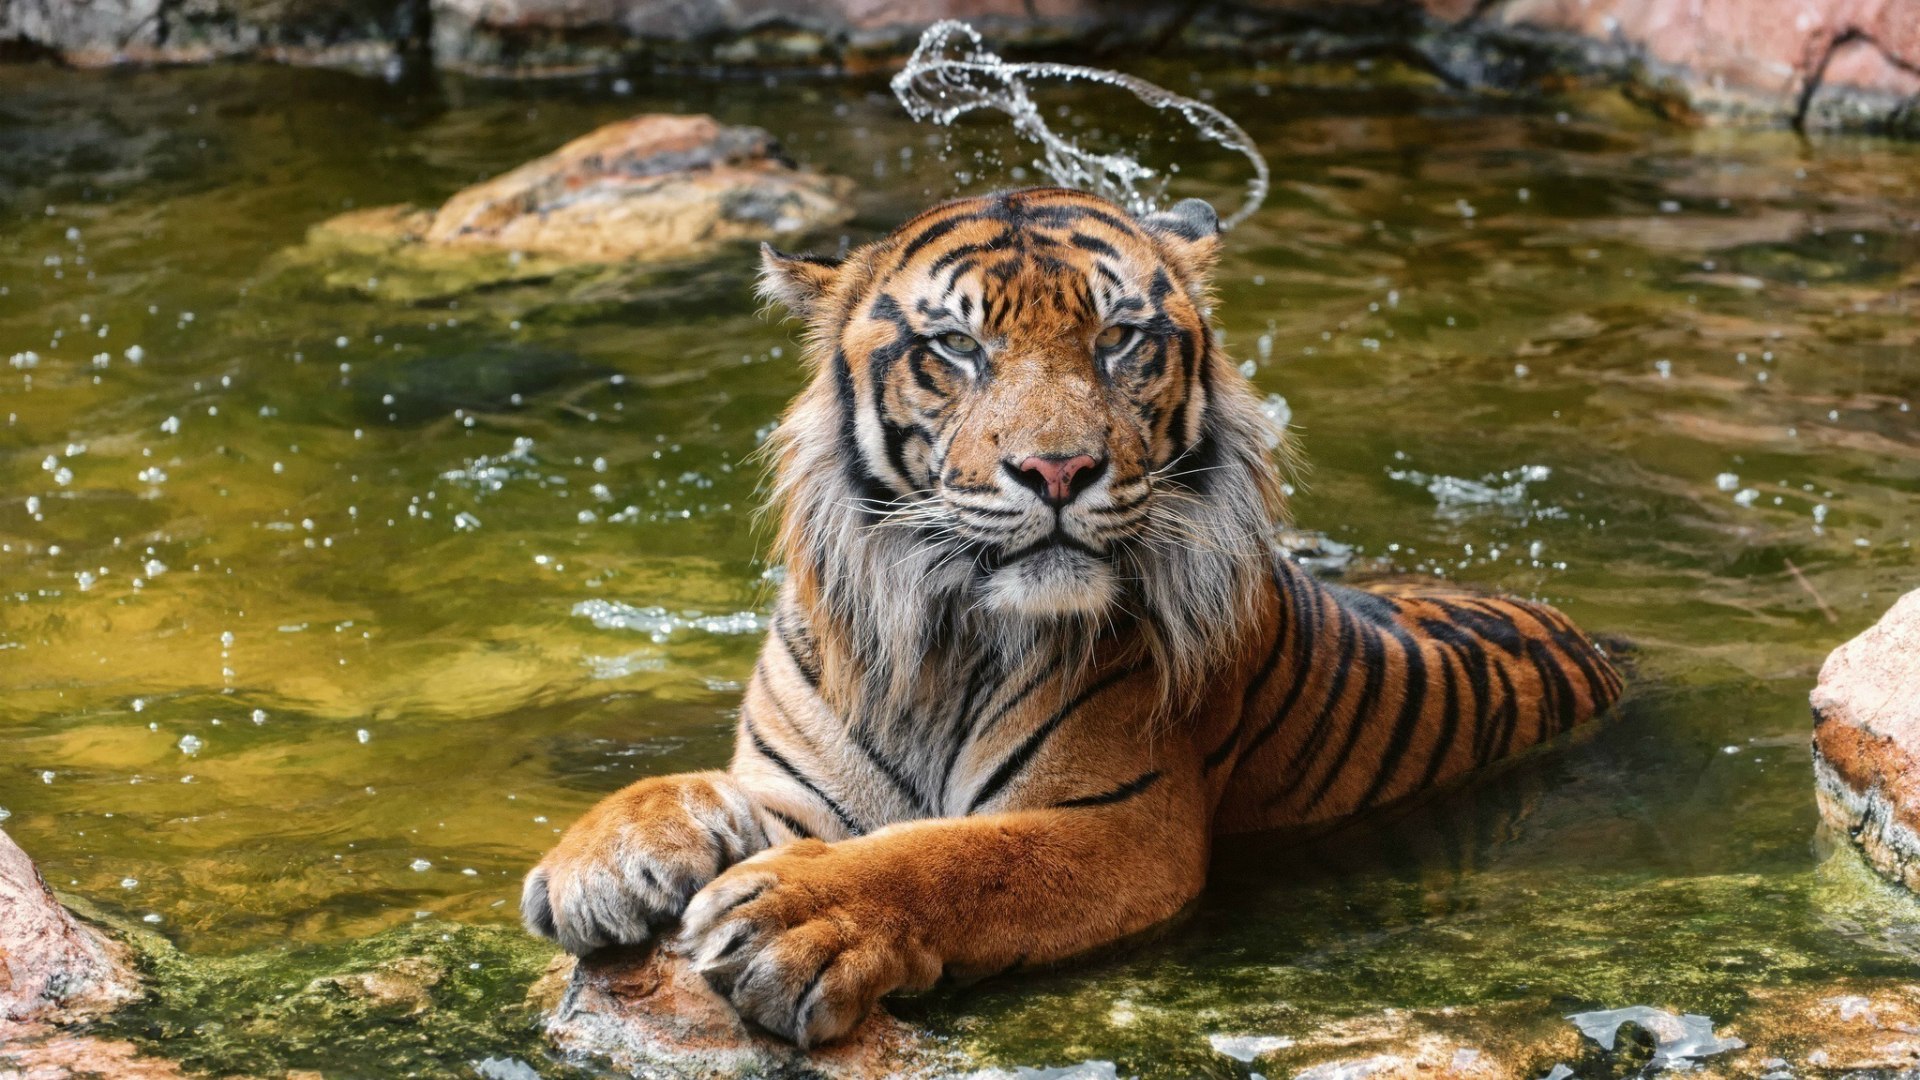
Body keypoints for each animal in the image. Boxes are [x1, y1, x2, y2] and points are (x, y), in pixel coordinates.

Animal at [521, 187, 1623, 1046]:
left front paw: (790, 917)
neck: (941, 640)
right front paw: (599, 861)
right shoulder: (791, 786)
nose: (1058, 469)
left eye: (1118, 338)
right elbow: (688, 788)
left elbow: (953, 858)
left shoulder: (1121, 823)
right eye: (958, 346)